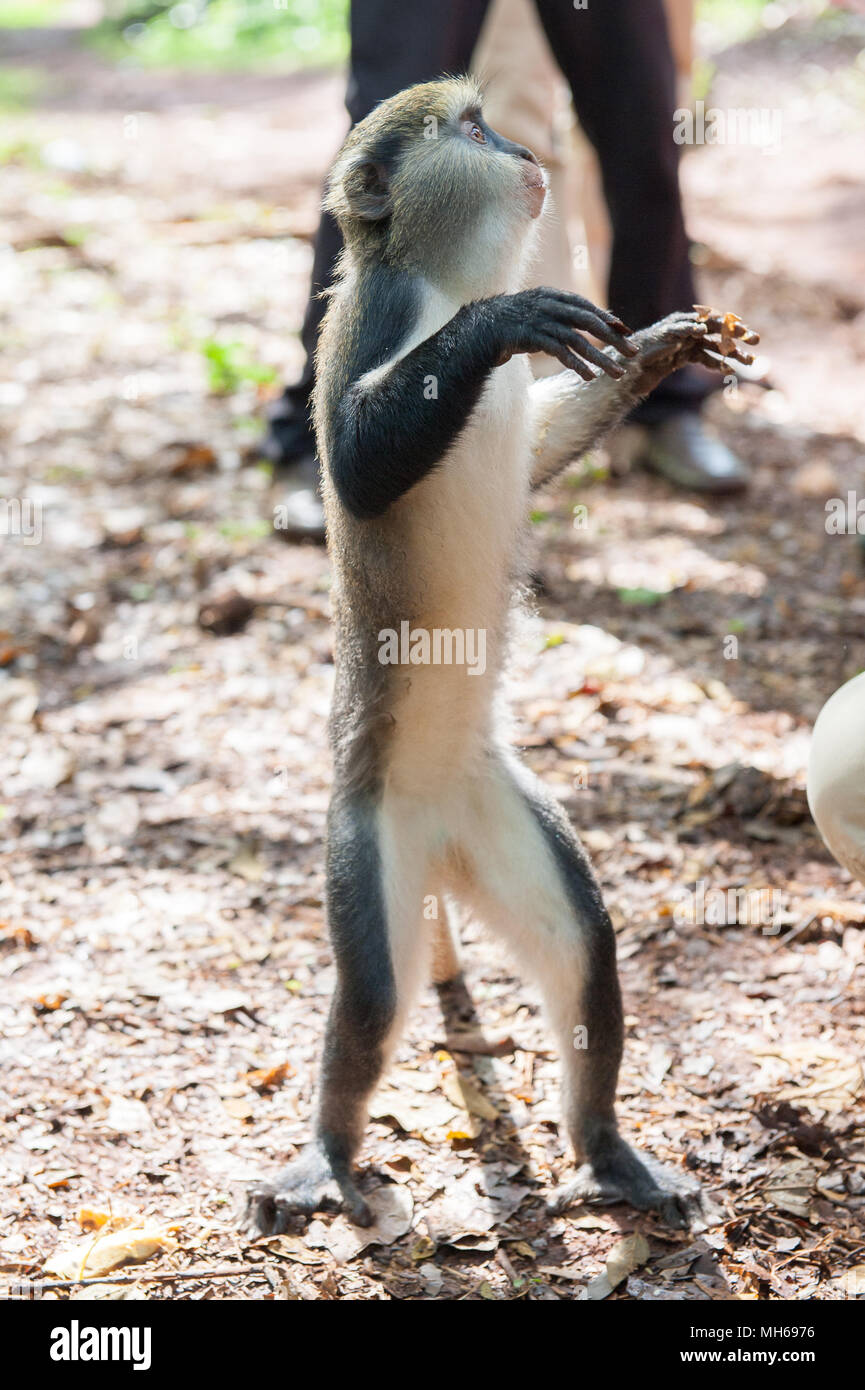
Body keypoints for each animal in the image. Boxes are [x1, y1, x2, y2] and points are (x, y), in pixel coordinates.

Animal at [244, 77, 758, 1235]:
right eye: (471, 128)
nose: (523, 148)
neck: (441, 279)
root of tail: (436, 829)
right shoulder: (367, 323)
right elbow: (354, 461)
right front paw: (503, 320)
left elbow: (539, 449)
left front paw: (664, 348)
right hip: (370, 836)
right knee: (375, 997)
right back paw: (329, 1151)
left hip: (495, 811)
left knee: (584, 952)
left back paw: (605, 1149)